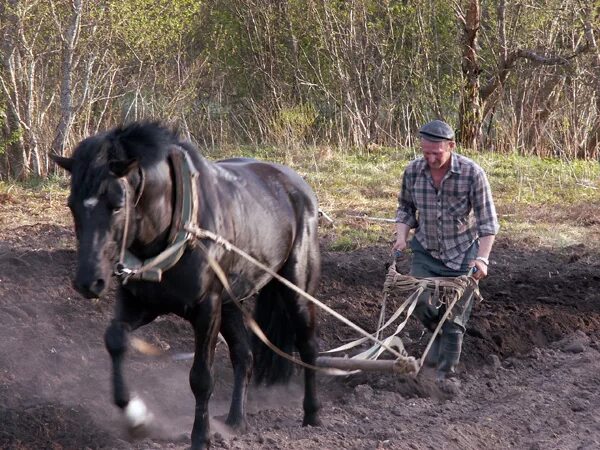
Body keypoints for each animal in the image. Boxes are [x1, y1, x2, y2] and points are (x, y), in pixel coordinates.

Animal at [52, 120, 324, 450]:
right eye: (72, 205)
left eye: (117, 205)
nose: (88, 282)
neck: (175, 225)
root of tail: (297, 185)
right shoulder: (141, 304)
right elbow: (115, 340)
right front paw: (136, 417)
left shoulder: (206, 309)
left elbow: (201, 378)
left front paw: (200, 438)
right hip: (231, 302)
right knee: (244, 356)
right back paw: (236, 421)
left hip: (296, 289)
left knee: (308, 347)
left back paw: (312, 415)